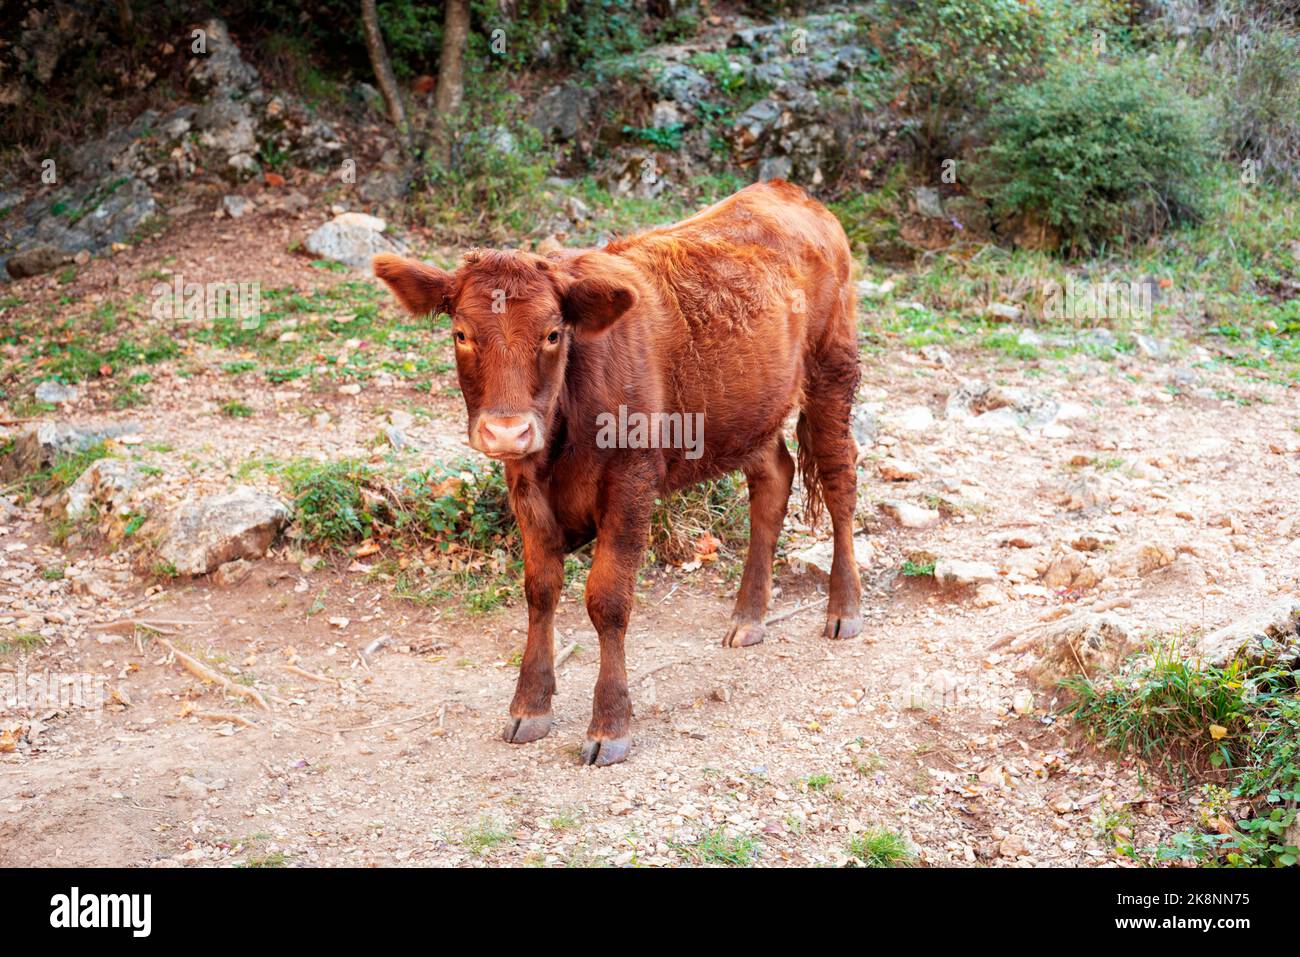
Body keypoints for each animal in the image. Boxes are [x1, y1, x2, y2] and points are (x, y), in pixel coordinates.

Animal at [373, 179, 861, 766]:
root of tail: (787, 192)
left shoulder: (632, 483)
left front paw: (609, 724)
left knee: (839, 482)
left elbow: (607, 599)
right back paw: (748, 618)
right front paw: (530, 706)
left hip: (833, 368)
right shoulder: (525, 486)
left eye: (553, 333)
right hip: (747, 410)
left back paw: (844, 609)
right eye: (461, 333)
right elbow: (540, 589)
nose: (507, 433)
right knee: (773, 477)